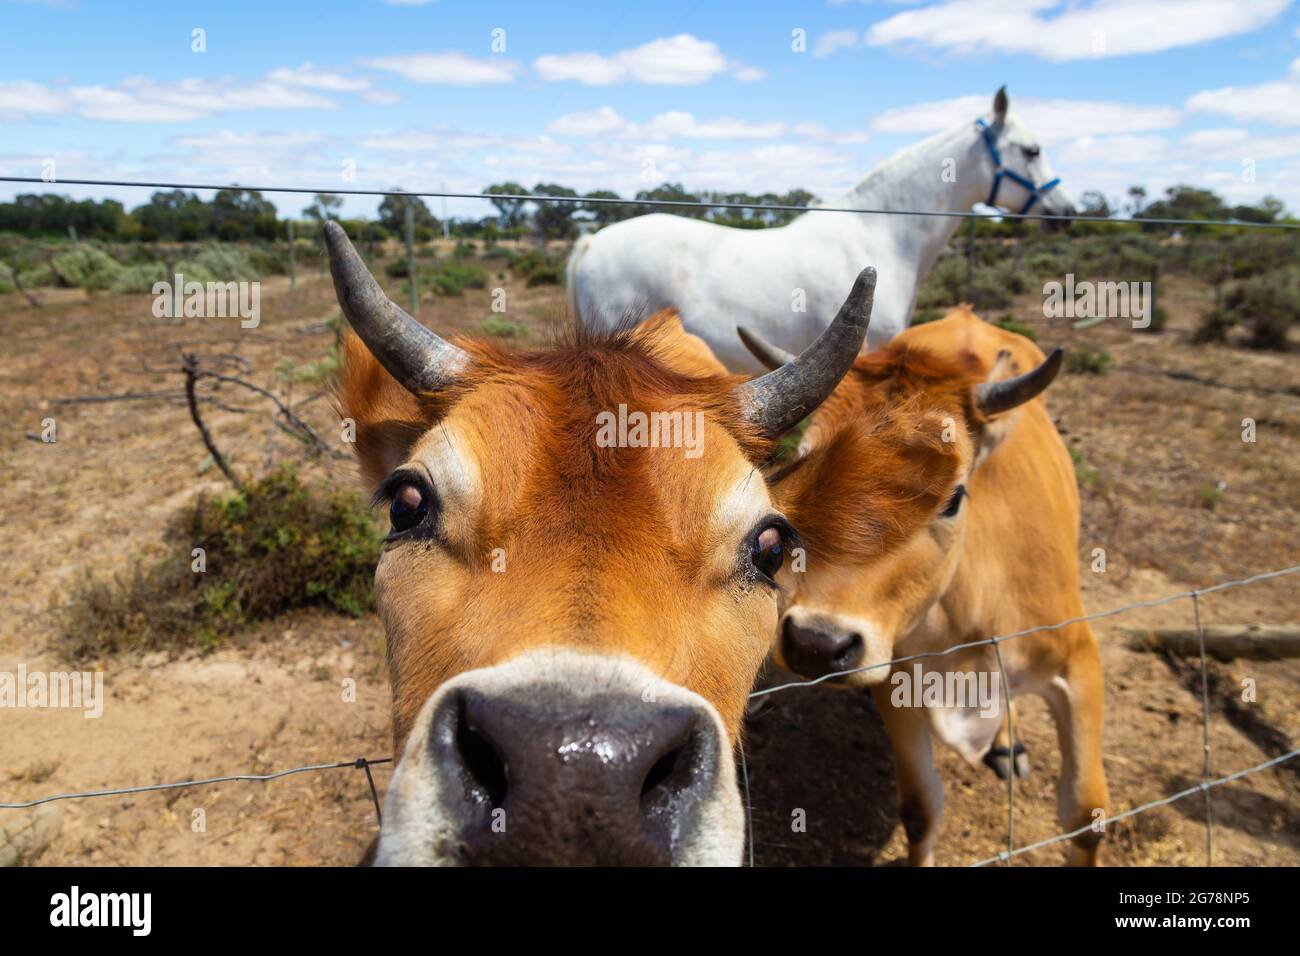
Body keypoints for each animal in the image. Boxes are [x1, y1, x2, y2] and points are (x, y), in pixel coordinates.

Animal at [740, 306, 1108, 866]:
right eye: (805, 463)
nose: (815, 643)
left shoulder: (1079, 660)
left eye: (953, 498)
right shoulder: (896, 677)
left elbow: (1085, 817)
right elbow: (920, 809)